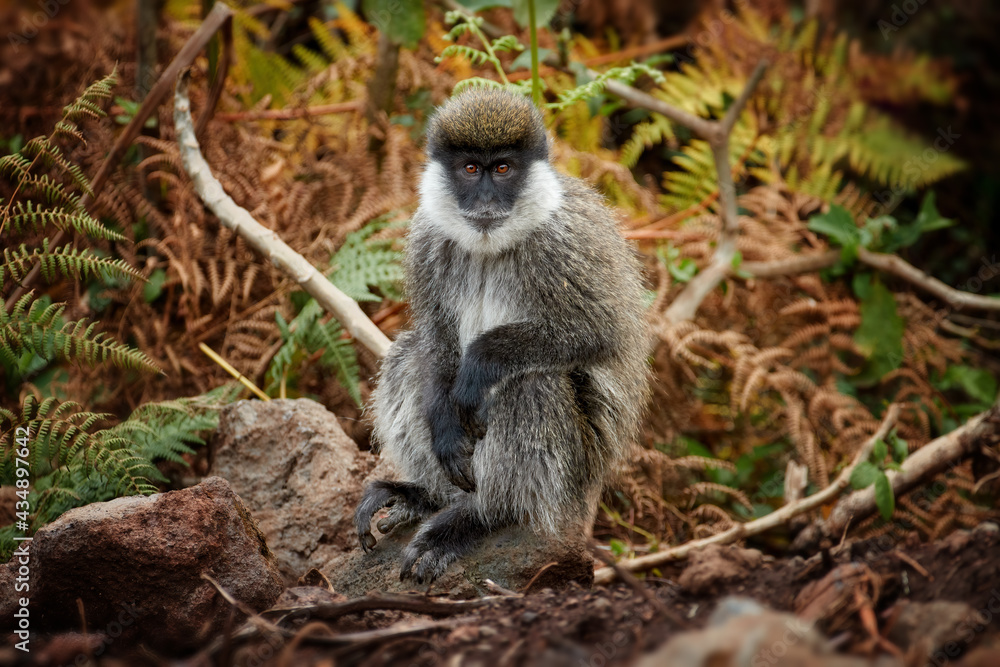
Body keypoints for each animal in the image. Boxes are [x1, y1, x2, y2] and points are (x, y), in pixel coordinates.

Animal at [354, 88, 649, 584]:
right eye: (472, 169)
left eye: (504, 168)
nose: (487, 198)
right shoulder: (427, 239)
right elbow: (435, 339)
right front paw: (445, 430)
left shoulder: (563, 244)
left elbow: (605, 333)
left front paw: (480, 362)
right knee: (409, 352)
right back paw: (430, 496)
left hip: (576, 474)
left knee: (531, 381)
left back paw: (483, 514)